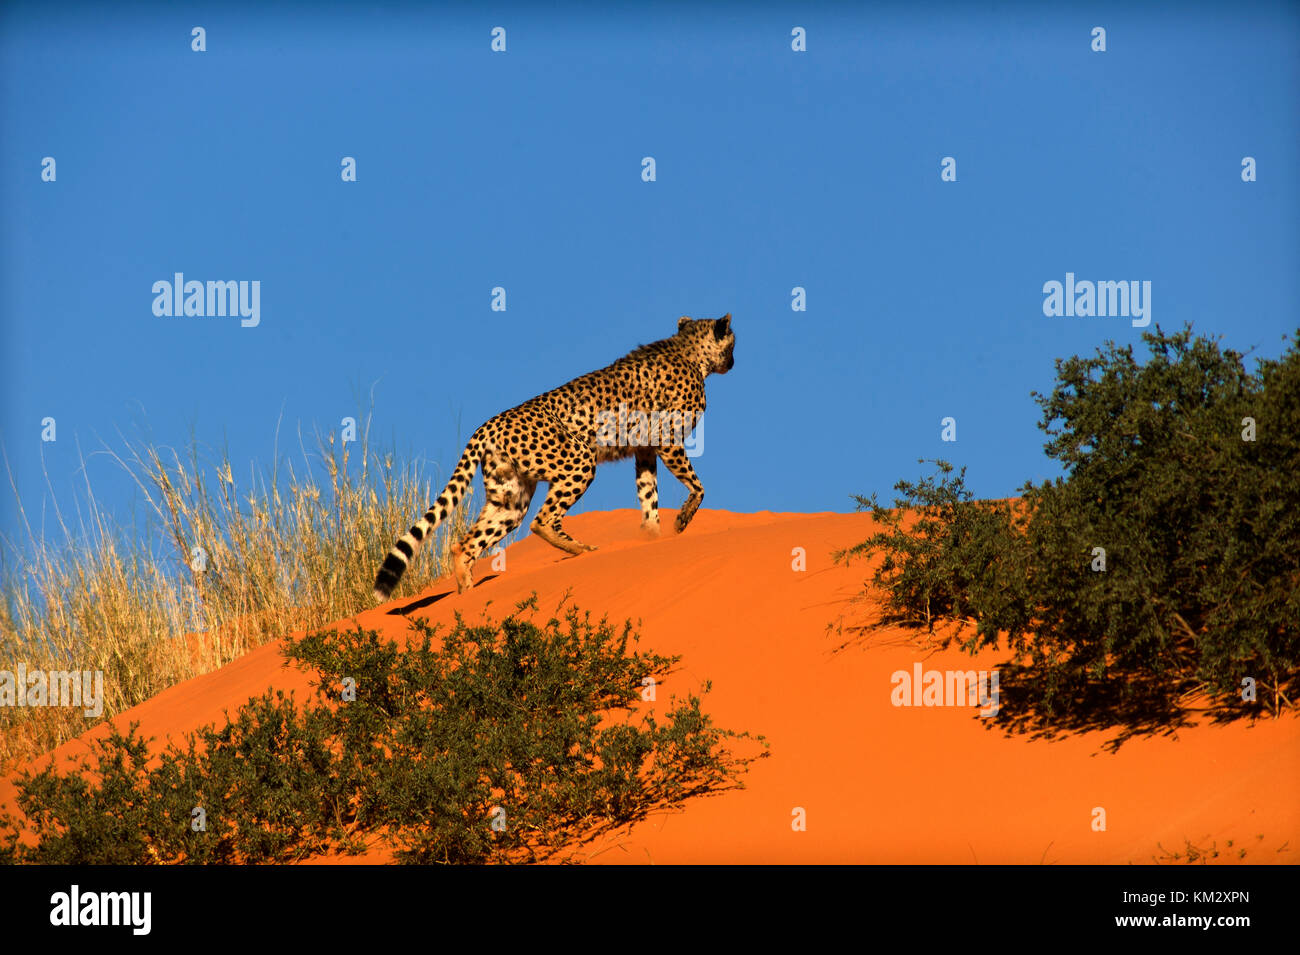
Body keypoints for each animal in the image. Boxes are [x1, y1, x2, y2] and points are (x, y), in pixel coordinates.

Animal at [372, 313, 736, 600]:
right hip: (579, 461)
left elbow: (648, 496)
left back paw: (466, 590)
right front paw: (682, 520)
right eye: (732, 344)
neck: (688, 350)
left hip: (510, 497)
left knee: (468, 542)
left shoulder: (644, 449)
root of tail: (487, 424)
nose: (733, 363)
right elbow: (698, 487)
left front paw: (651, 537)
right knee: (542, 519)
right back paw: (581, 549)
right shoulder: (667, 440)